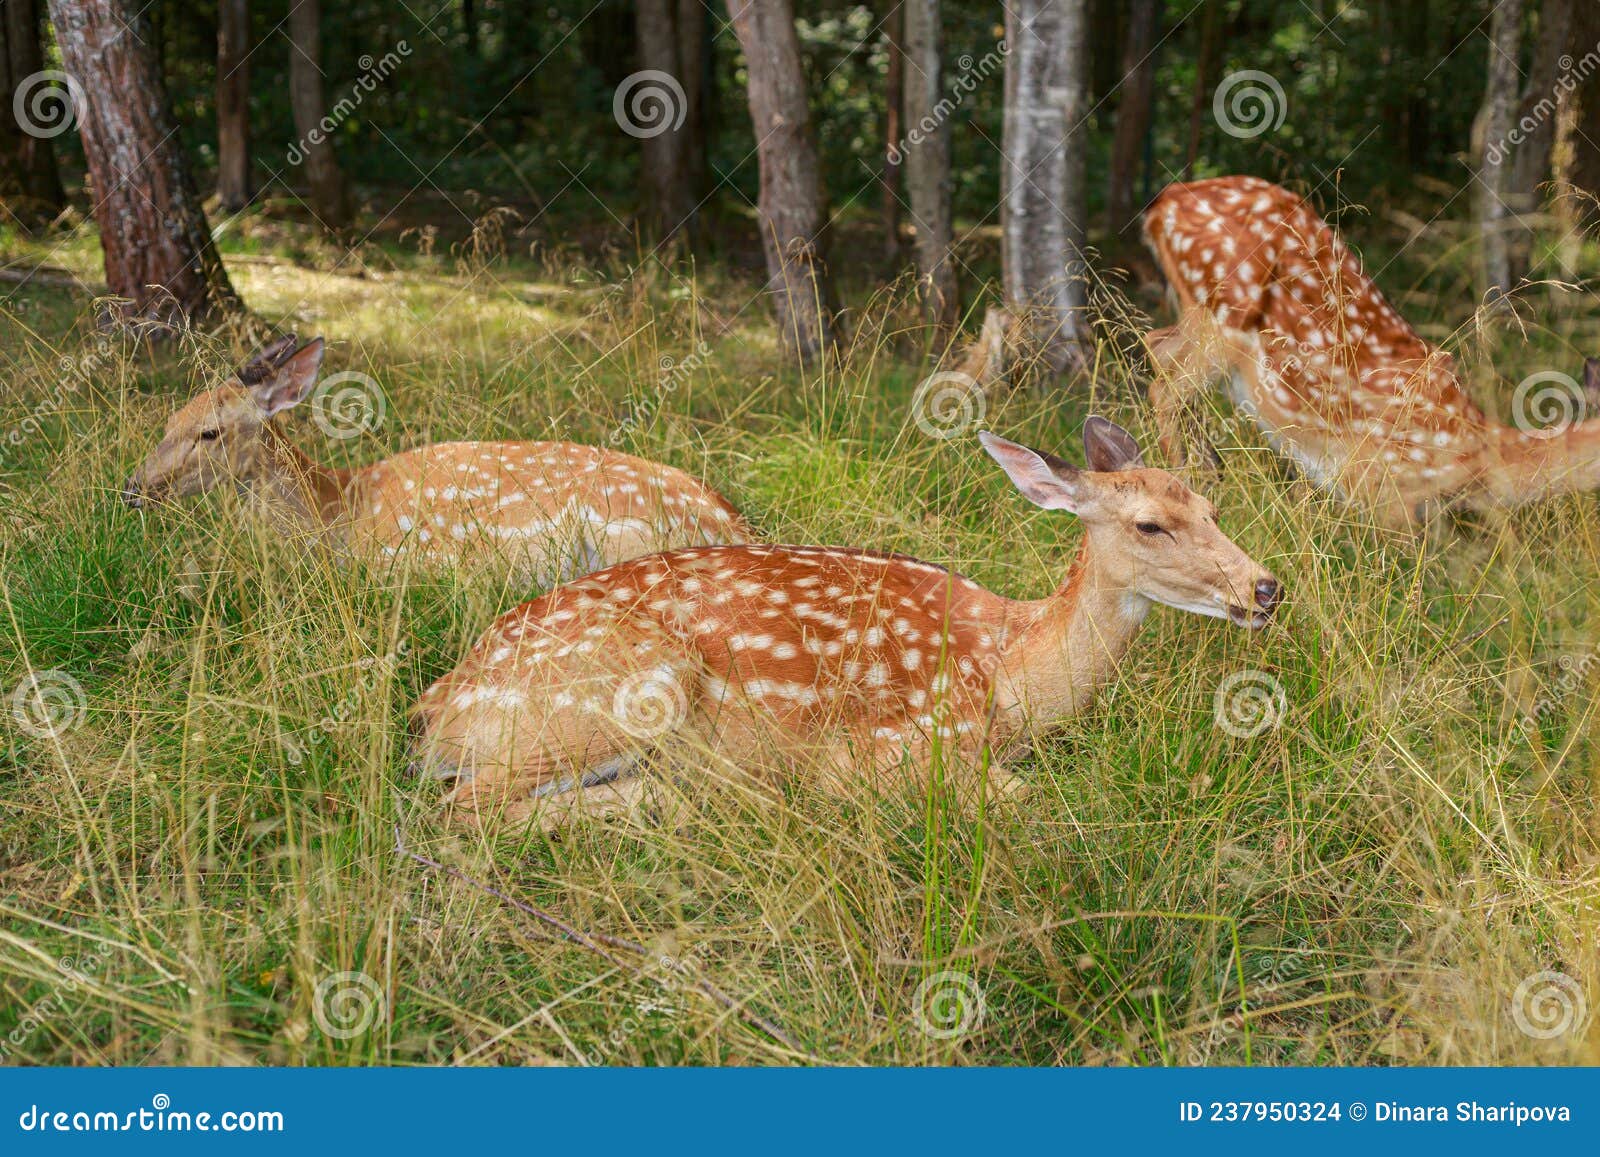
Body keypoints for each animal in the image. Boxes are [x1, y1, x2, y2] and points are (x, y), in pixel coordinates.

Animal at [408, 417, 1283, 830]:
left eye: (1211, 506)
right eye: (1149, 526)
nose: (1266, 587)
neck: (1008, 675)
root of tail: (435, 707)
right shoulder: (889, 747)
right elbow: (1021, 794)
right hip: (610, 692)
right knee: (460, 811)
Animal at [1140, 175, 1600, 530]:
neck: (1480, 453)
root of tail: (1162, 202)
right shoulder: (1386, 491)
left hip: (1197, 317)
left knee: (1156, 346)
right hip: (1221, 316)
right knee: (1165, 386)